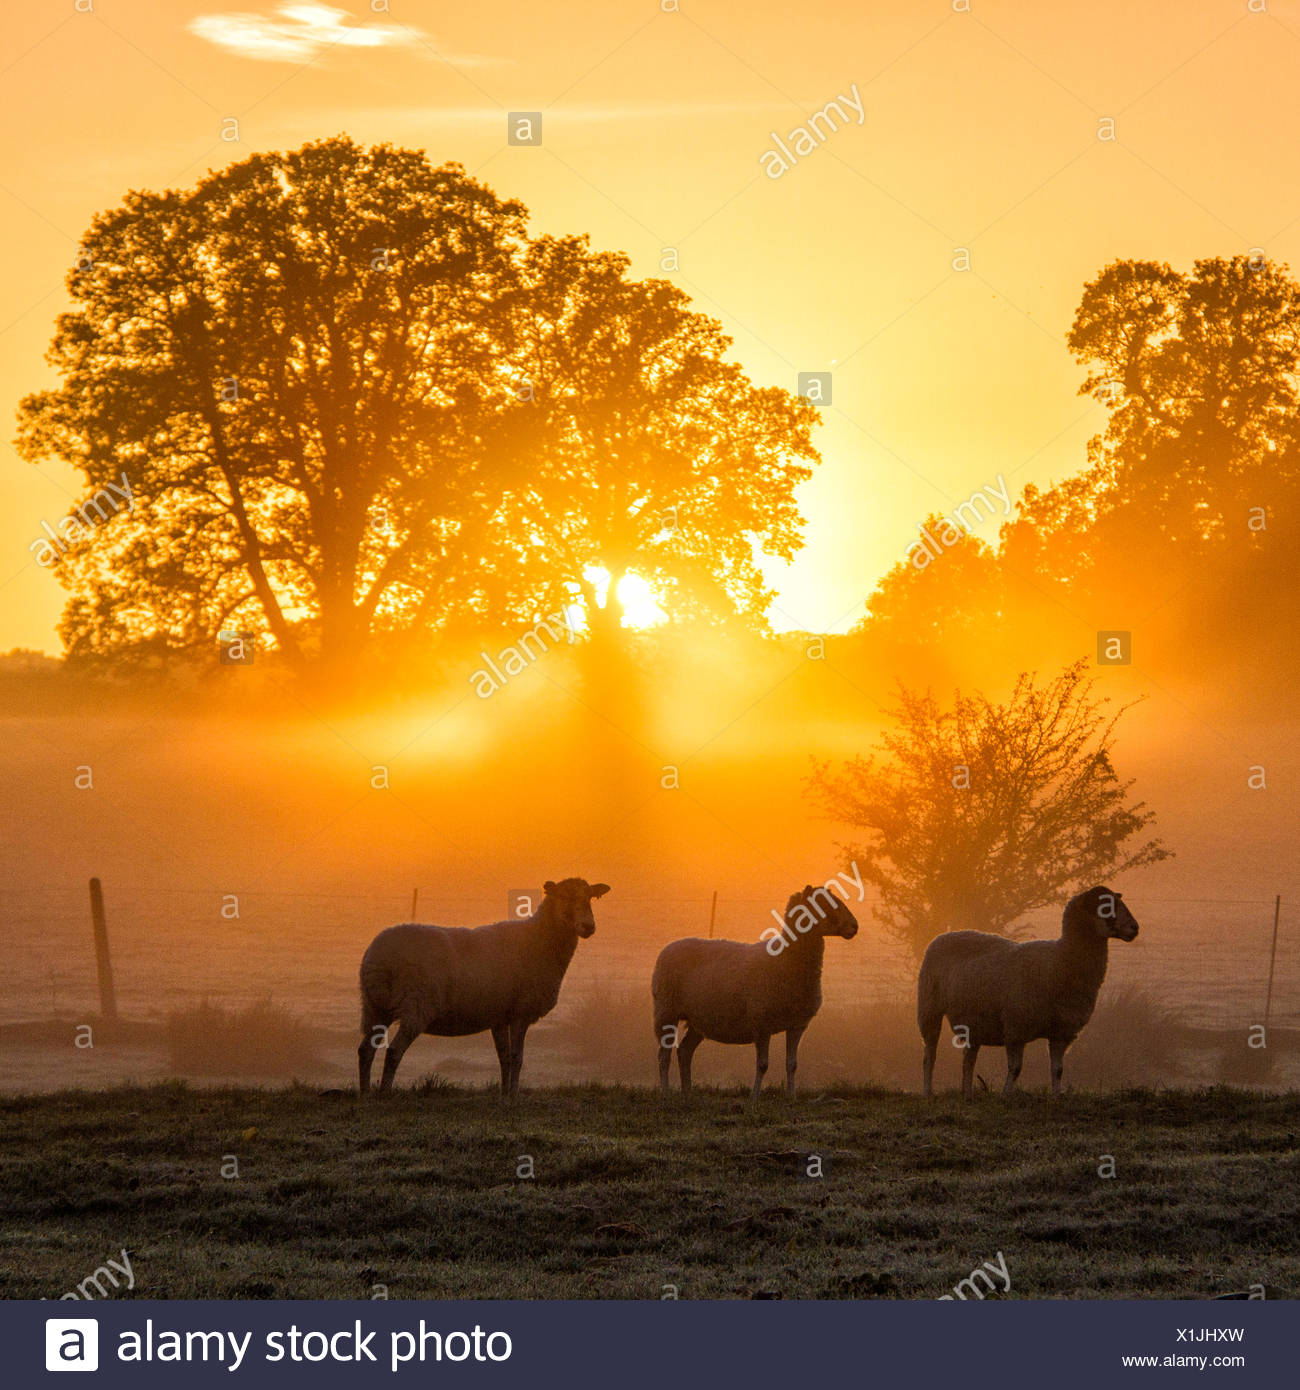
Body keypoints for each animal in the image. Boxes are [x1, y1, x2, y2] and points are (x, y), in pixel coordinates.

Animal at [358, 877, 610, 1097]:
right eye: (565, 897)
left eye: (590, 898)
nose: (589, 926)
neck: (539, 939)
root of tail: (379, 957)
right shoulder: (521, 1012)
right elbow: (517, 1057)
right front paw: (514, 1094)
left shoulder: (499, 1016)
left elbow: (504, 1057)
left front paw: (504, 1092)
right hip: (416, 1005)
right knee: (393, 1051)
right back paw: (384, 1093)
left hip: (374, 1006)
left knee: (365, 1050)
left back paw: (365, 1092)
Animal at [652, 883, 859, 1098]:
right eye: (823, 903)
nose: (855, 926)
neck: (785, 960)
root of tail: (669, 946)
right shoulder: (762, 1024)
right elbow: (762, 1065)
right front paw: (755, 1096)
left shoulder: (797, 1024)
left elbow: (792, 1064)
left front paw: (791, 1096)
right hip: (666, 1011)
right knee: (664, 1056)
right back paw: (666, 1092)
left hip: (699, 1020)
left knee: (684, 1051)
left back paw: (687, 1093)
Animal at [917, 885, 1140, 1099]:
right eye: (1105, 907)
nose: (1135, 928)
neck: (1060, 960)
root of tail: (948, 933)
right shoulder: (1016, 1028)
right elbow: (1016, 1068)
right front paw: (1006, 1095)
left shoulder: (1062, 1032)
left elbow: (1058, 1069)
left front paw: (1056, 1096)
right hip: (929, 1008)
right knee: (930, 1055)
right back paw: (928, 1092)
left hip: (974, 1021)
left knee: (968, 1060)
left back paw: (968, 1093)